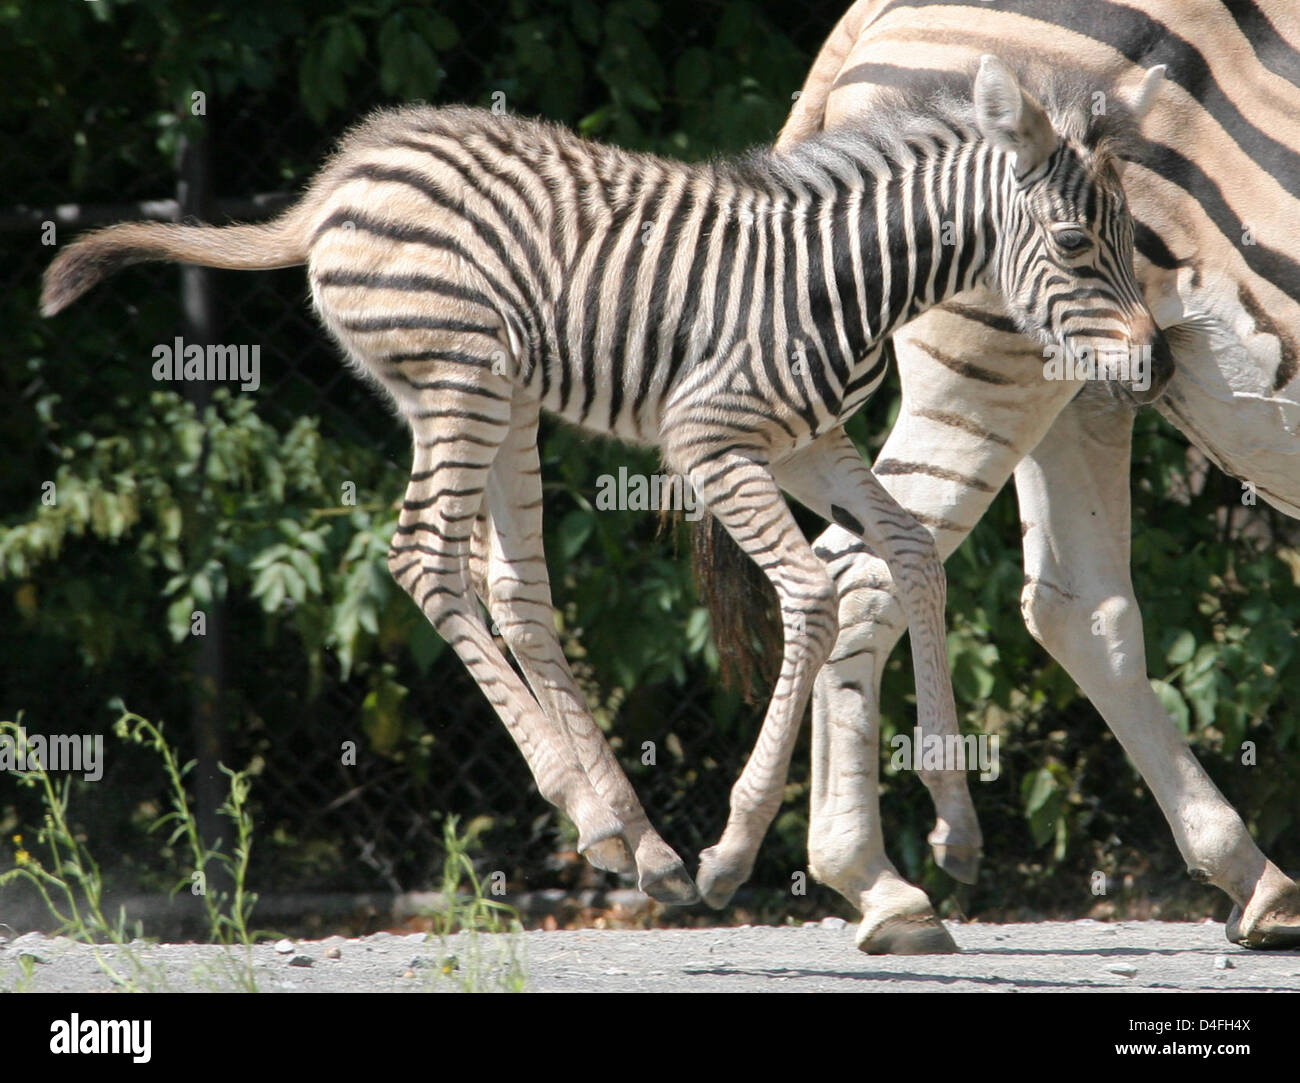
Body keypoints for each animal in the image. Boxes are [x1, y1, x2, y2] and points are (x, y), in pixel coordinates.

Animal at [41, 55, 1169, 909]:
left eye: (1132, 241)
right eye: (1076, 242)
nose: (1154, 368)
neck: (849, 281)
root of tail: (341, 175)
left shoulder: (808, 442)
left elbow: (911, 554)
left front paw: (956, 826)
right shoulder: (710, 442)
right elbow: (812, 595)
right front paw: (734, 852)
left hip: (501, 399)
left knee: (514, 590)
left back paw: (633, 839)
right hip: (460, 379)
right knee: (425, 560)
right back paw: (608, 823)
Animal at [704, 0, 1300, 952]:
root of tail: (878, 11)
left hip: (1084, 381)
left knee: (1076, 608)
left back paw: (1253, 877)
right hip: (988, 362)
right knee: (867, 572)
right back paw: (880, 885)